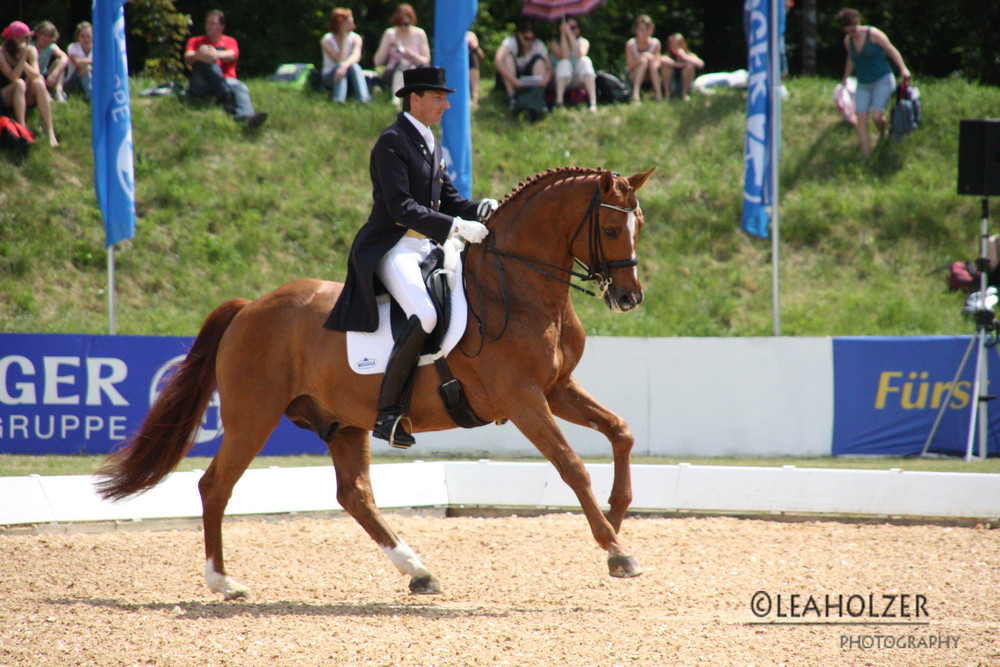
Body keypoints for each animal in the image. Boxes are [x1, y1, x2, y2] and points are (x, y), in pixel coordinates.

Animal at [97, 166, 655, 600]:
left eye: (640, 225)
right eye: (610, 228)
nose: (630, 298)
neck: (516, 287)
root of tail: (251, 306)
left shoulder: (557, 388)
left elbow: (621, 431)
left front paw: (617, 516)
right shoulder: (522, 398)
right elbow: (571, 465)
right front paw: (616, 552)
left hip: (343, 421)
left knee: (355, 495)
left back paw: (420, 571)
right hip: (252, 417)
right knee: (216, 485)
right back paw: (223, 582)